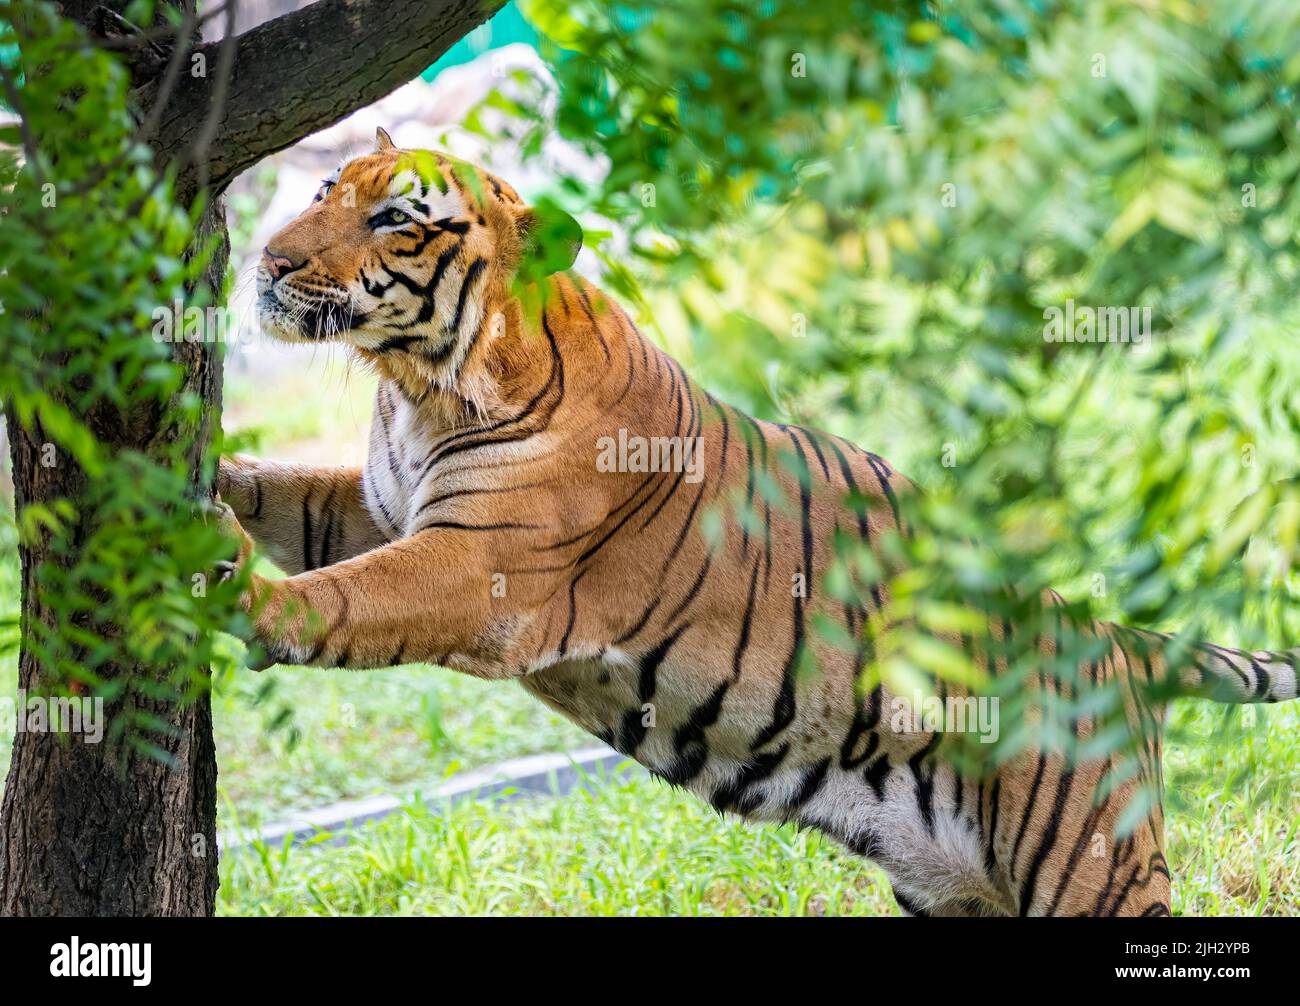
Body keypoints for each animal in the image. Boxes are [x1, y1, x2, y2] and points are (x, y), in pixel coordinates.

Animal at [215, 127, 1299, 917]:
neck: (418, 388)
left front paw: (247, 600)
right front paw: (208, 485)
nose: (268, 260)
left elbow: (350, 596)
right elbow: (289, 495)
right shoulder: (382, 508)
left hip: (1087, 867)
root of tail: (1107, 633)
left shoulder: (478, 568)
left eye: (395, 219)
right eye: (325, 189)